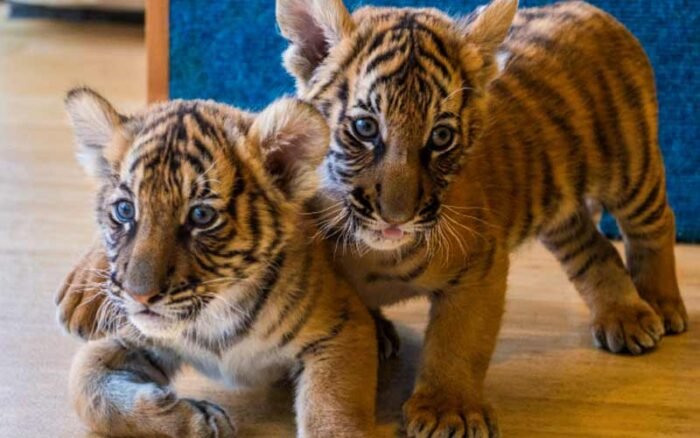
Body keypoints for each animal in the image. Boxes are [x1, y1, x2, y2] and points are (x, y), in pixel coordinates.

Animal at [59, 87, 378, 438]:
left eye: (201, 215)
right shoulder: (133, 338)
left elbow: (331, 410)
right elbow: (86, 387)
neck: (215, 317)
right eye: (125, 210)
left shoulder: (342, 327)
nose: (138, 295)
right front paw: (199, 420)